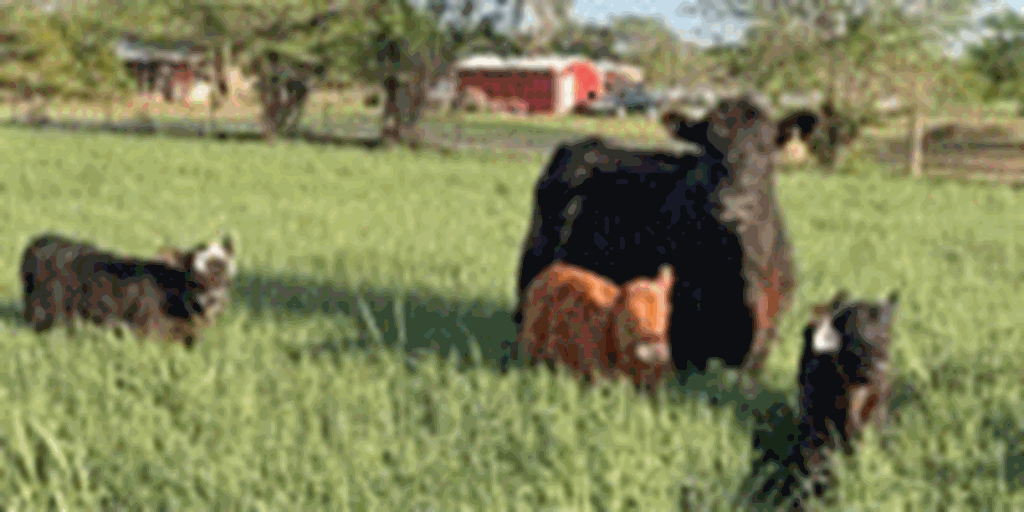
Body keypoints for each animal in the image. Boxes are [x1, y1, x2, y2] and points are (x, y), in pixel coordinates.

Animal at [20, 233, 237, 347]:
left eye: (227, 279)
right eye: (194, 279)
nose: (213, 301)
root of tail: (42, 239)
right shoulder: (147, 335)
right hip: (43, 315)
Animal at [512, 94, 819, 377]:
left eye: (765, 147)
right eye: (708, 148)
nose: (732, 205)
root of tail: (586, 144)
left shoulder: (761, 343)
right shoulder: (684, 340)